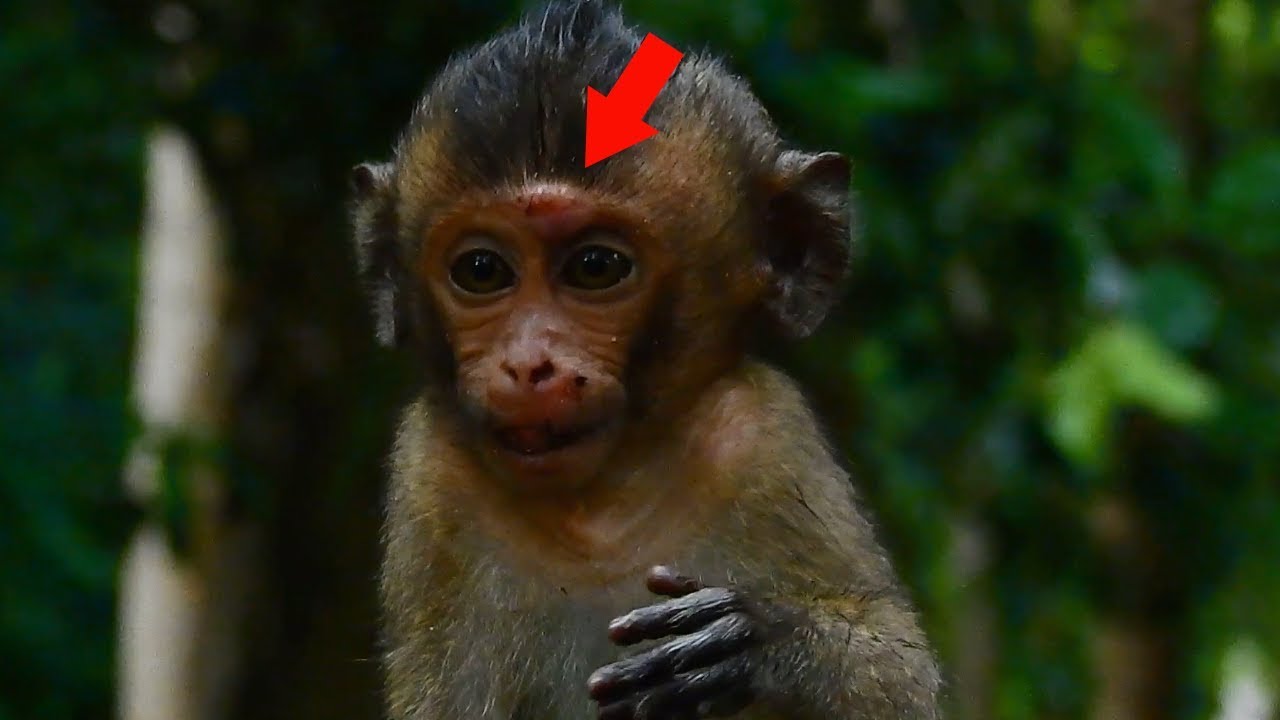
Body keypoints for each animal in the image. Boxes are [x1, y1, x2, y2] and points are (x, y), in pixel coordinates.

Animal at [350, 1, 942, 718]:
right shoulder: (431, 479)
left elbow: (902, 681)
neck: (600, 507)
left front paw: (761, 643)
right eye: (482, 270)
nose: (528, 365)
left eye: (596, 266)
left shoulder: (764, 434)